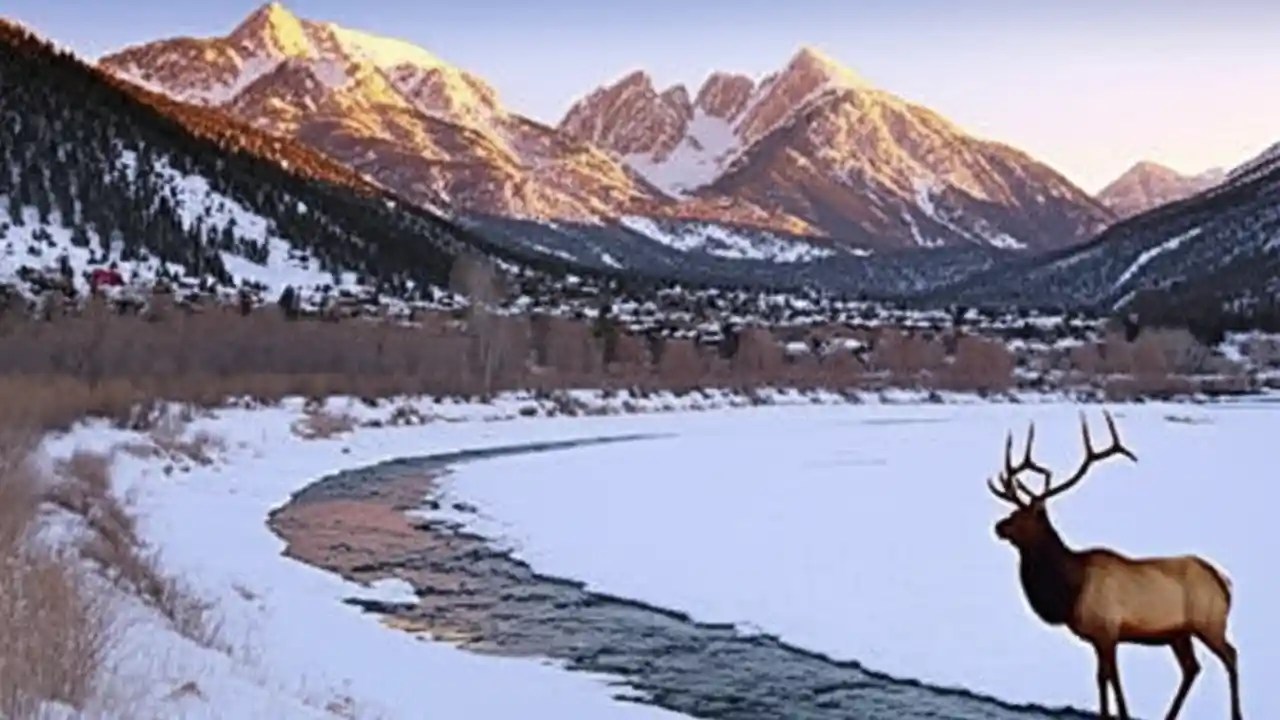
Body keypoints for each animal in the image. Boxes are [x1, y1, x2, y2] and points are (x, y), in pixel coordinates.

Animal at [987, 410, 1242, 720]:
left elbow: (1113, 680)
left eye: (1024, 515)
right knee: (1192, 668)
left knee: (1230, 655)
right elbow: (1102, 679)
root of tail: (1224, 581)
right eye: (1012, 511)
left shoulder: (1108, 631)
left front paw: (1121, 713)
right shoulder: (1098, 638)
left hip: (1210, 622)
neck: (1069, 590)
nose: (999, 526)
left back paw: (1237, 714)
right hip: (1178, 633)